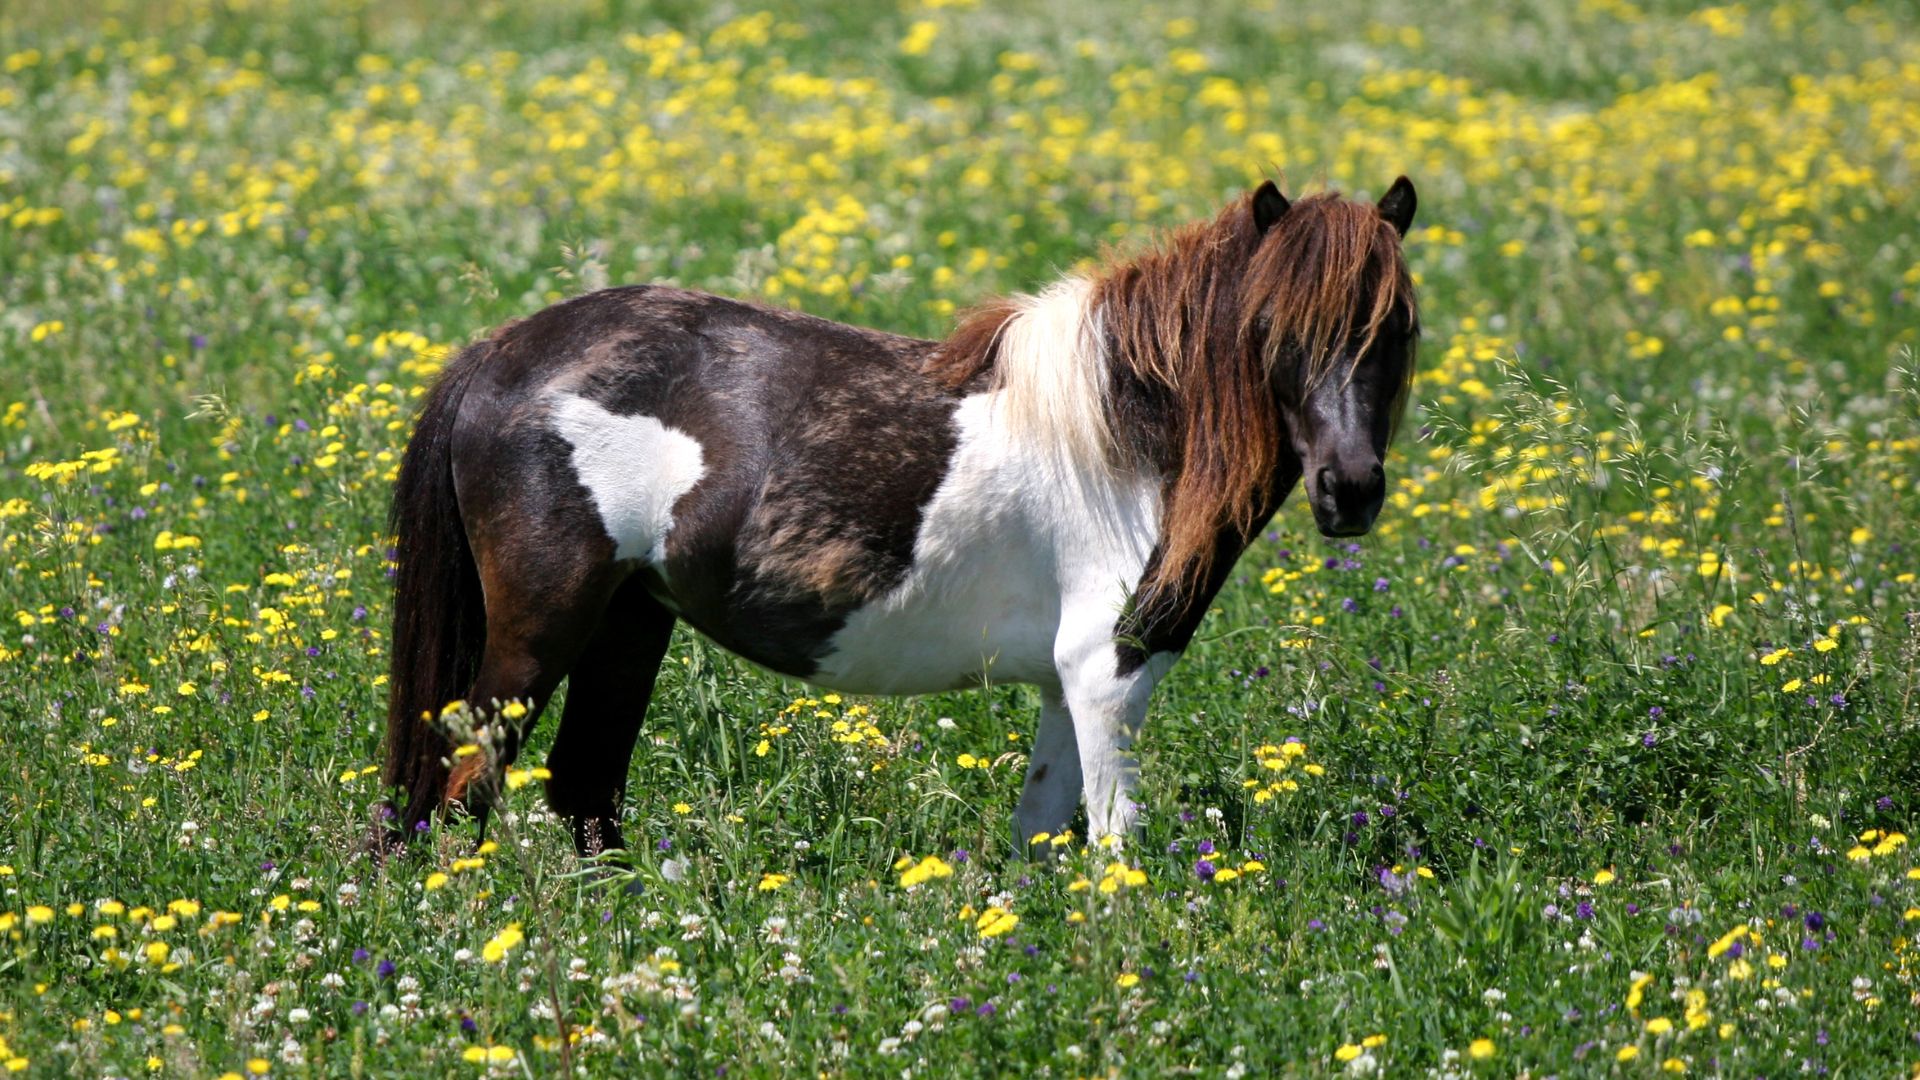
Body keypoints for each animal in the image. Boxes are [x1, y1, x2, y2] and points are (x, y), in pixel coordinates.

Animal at [379, 177, 1419, 858]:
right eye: (1275, 331)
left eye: (1399, 329)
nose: (1350, 491)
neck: (1125, 434)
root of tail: (502, 351)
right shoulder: (1107, 675)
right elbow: (1116, 845)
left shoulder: (1063, 686)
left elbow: (1037, 839)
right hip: (544, 626)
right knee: (465, 781)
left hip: (630, 620)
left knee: (582, 787)